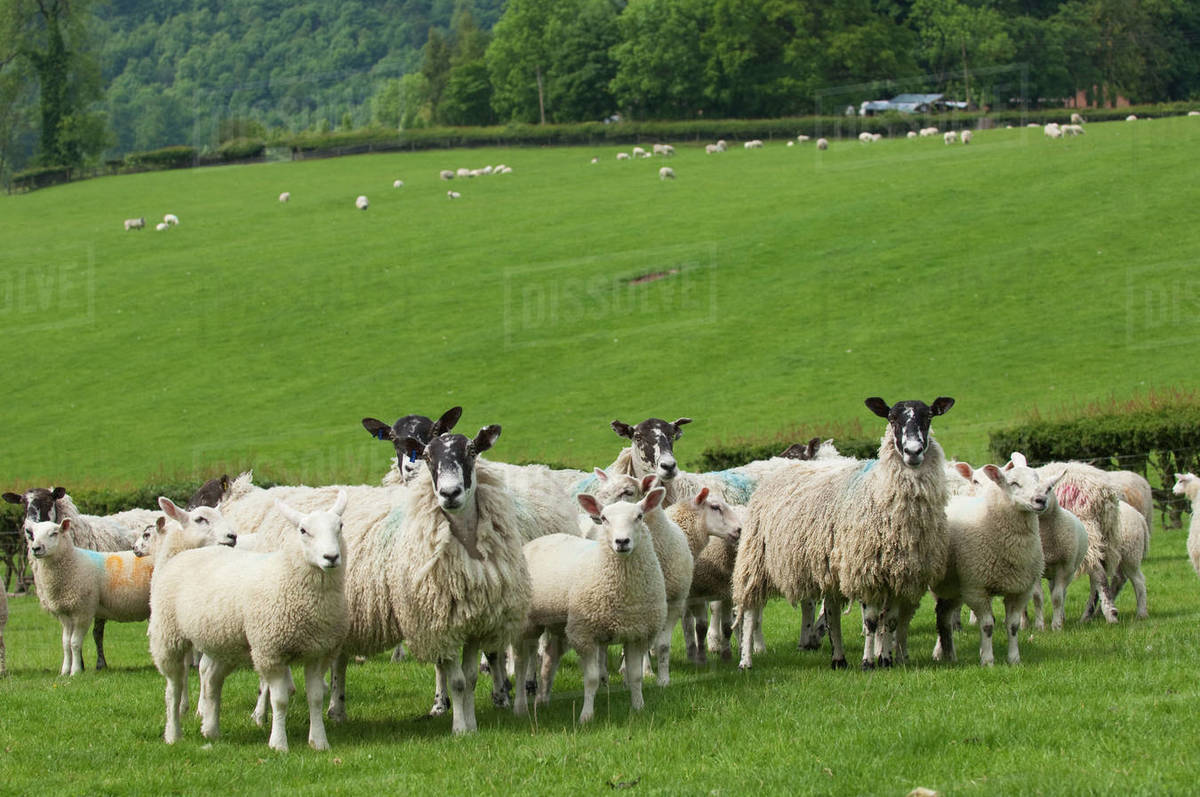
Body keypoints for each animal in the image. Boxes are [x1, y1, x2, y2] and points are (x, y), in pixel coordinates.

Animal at [149, 492, 348, 751]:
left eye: (340, 526)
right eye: (303, 531)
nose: (331, 557)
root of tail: (186, 554)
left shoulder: (319, 652)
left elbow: (315, 698)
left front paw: (319, 742)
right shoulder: (270, 651)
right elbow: (280, 700)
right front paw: (278, 743)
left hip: (225, 643)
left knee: (212, 682)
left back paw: (211, 730)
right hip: (169, 636)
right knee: (173, 688)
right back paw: (173, 734)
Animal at [393, 425, 532, 735]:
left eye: (471, 450)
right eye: (427, 457)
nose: (449, 493)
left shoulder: (475, 623)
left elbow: (469, 678)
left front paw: (472, 724)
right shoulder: (444, 624)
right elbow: (456, 680)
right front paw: (460, 729)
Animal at [513, 490, 667, 722]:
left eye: (639, 516)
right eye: (604, 519)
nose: (622, 541)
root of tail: (537, 540)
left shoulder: (638, 634)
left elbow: (635, 676)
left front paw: (639, 708)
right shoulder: (585, 635)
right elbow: (592, 679)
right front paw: (586, 716)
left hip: (562, 626)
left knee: (549, 658)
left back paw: (542, 701)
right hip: (528, 624)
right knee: (521, 663)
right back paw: (520, 707)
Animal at [733, 397, 954, 671]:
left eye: (929, 417)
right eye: (892, 418)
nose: (913, 451)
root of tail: (780, 470)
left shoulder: (897, 573)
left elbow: (889, 620)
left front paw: (886, 659)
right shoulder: (865, 569)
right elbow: (871, 620)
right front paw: (868, 661)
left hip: (827, 565)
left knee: (832, 611)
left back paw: (838, 658)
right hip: (755, 558)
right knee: (750, 610)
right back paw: (746, 660)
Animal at [931, 463, 1059, 666]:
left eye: (1038, 481)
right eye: (1013, 483)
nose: (1040, 500)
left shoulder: (1020, 590)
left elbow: (1013, 625)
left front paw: (1014, 659)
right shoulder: (977, 589)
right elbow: (987, 625)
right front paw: (988, 660)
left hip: (955, 586)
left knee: (943, 614)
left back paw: (950, 655)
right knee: (942, 614)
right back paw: (938, 652)